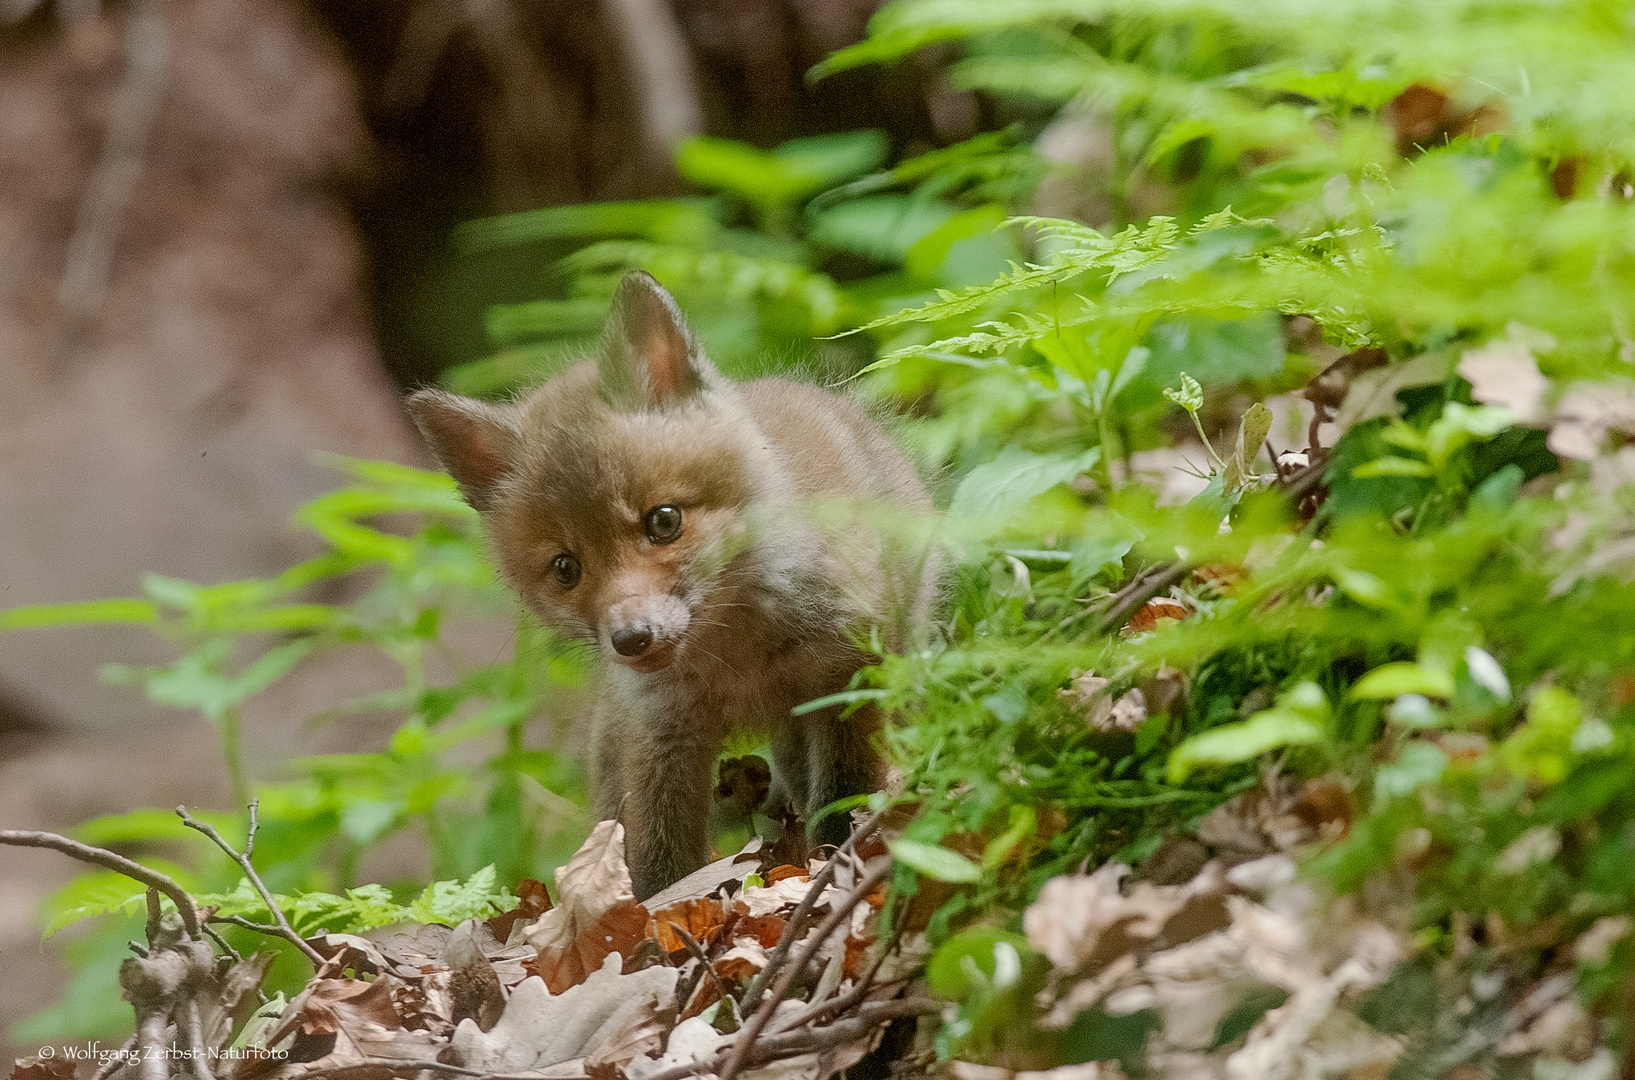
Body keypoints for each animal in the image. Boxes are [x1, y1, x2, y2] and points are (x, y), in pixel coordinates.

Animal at [406, 271, 933, 898]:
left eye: (663, 521)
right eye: (565, 568)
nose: (632, 639)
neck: (738, 655)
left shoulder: (847, 673)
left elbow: (843, 796)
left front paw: (831, 865)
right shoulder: (663, 733)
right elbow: (659, 860)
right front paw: (649, 914)